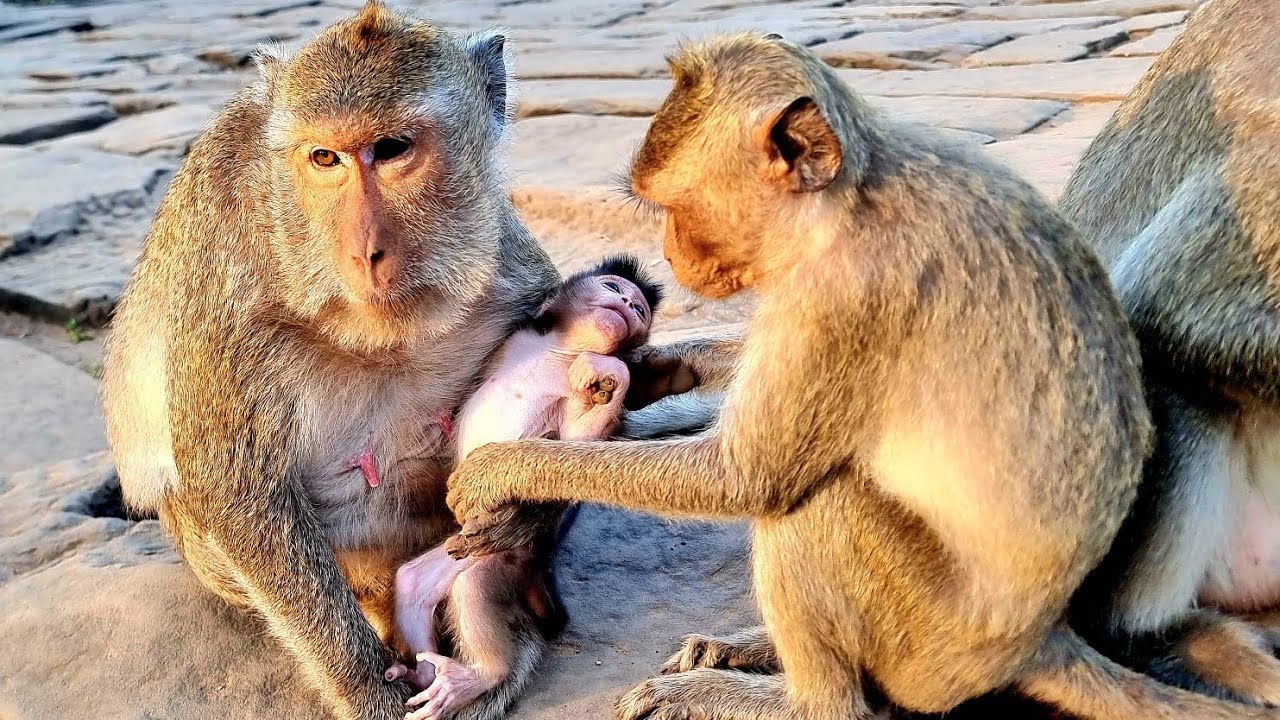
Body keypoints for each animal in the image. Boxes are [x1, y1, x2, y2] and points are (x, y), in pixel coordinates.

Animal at [384, 254, 663, 719]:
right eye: (613, 288)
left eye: (639, 309)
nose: (627, 303)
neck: (559, 351)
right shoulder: (515, 339)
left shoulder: (573, 400)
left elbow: (577, 444)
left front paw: (609, 371)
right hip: (462, 546)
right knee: (412, 582)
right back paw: (424, 673)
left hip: (503, 559)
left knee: (472, 588)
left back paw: (475, 678)